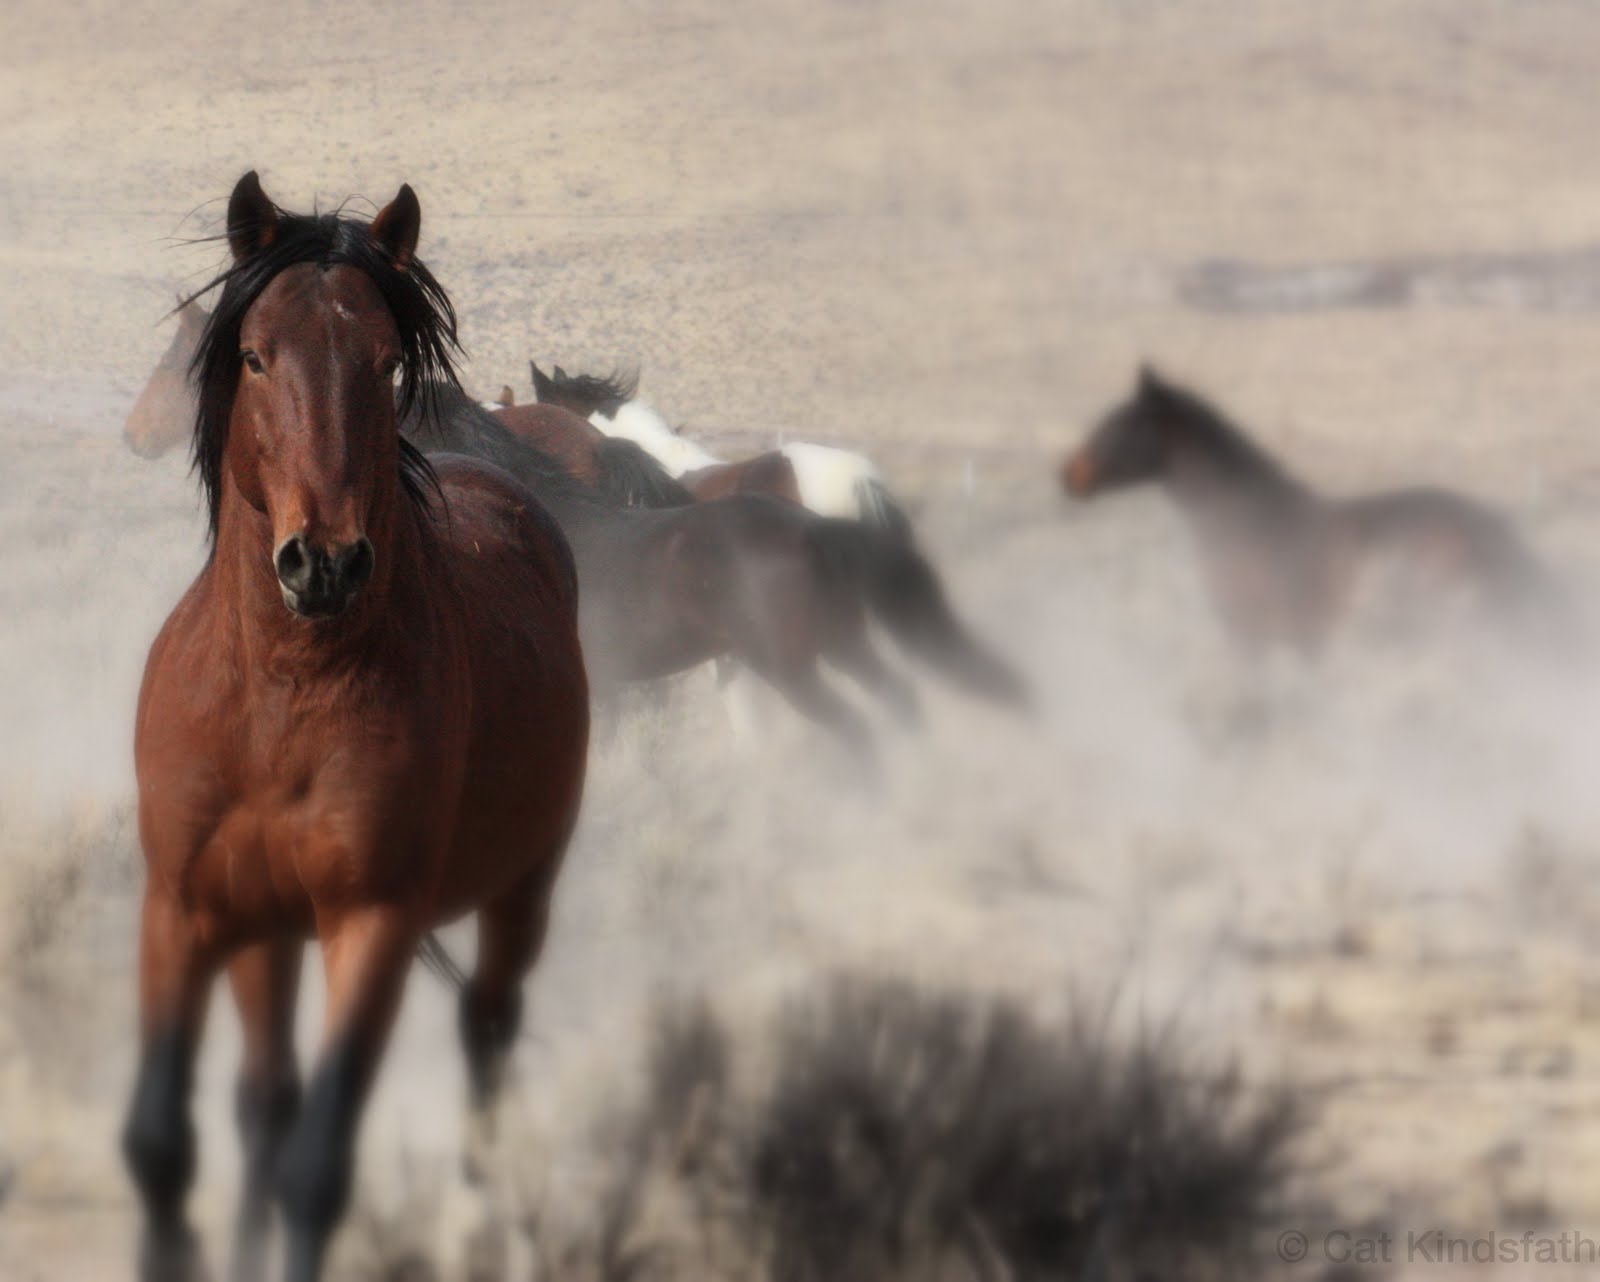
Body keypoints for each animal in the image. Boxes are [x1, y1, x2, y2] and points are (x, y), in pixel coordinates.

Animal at [123, 173, 589, 1282]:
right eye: (256, 355)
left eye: (385, 364)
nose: (323, 562)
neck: (275, 700)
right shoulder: (184, 905)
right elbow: (164, 1145)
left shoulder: (371, 919)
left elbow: (318, 1166)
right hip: (263, 926)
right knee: (262, 1097)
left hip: (523, 888)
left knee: (486, 1031)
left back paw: (483, 1228)